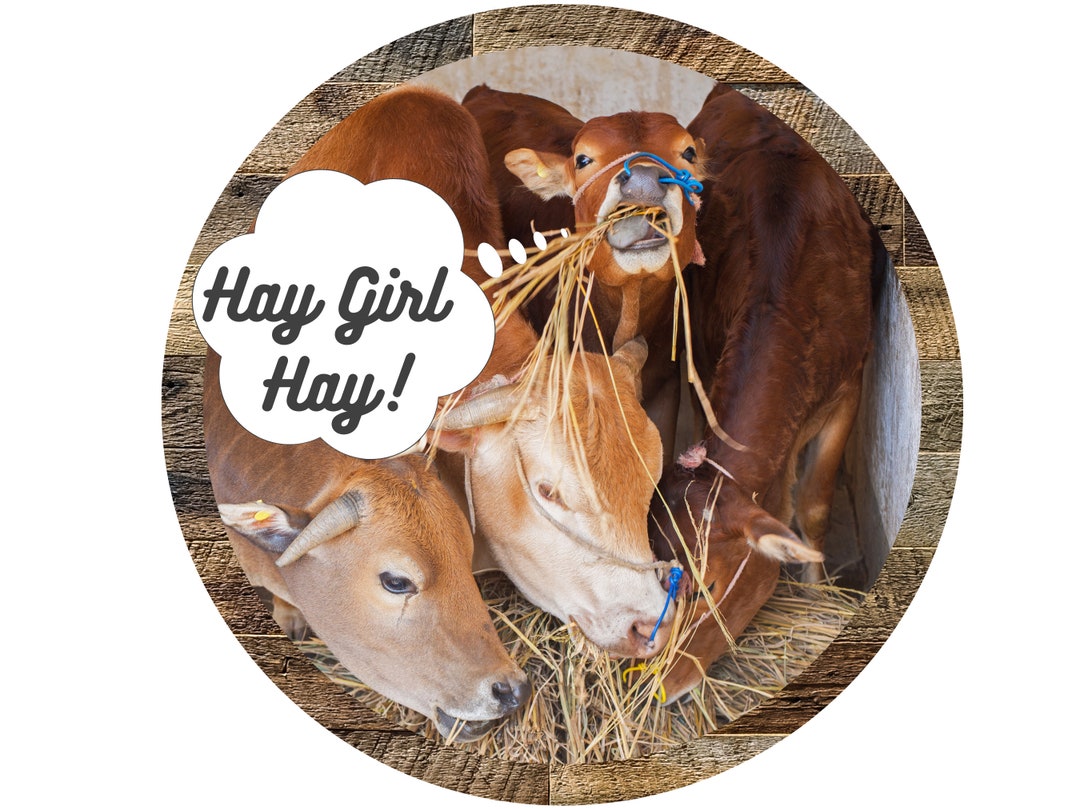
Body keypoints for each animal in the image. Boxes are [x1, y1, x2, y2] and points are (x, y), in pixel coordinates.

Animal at [648, 82, 888, 703]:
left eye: (709, 588)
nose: (662, 687)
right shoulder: (707, 364)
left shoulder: (849, 386)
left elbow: (815, 503)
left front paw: (813, 591)